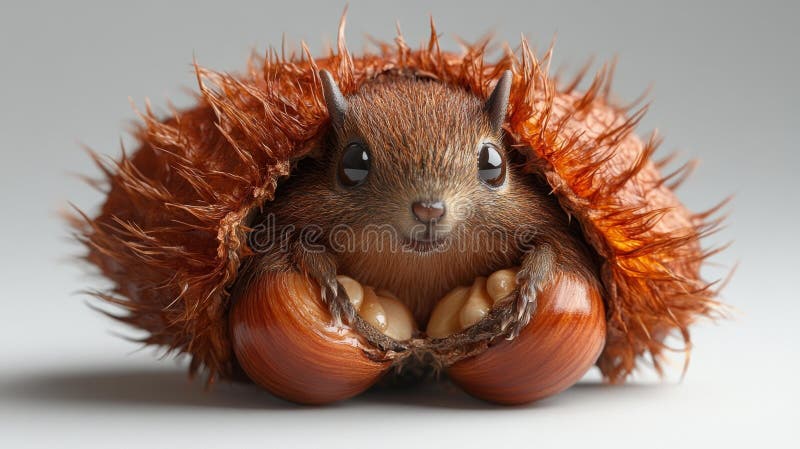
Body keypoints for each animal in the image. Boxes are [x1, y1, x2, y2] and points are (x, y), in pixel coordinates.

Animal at [241, 70, 600, 337]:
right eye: (352, 163)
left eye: (493, 164)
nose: (429, 210)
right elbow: (292, 245)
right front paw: (330, 282)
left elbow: (554, 247)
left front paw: (527, 287)